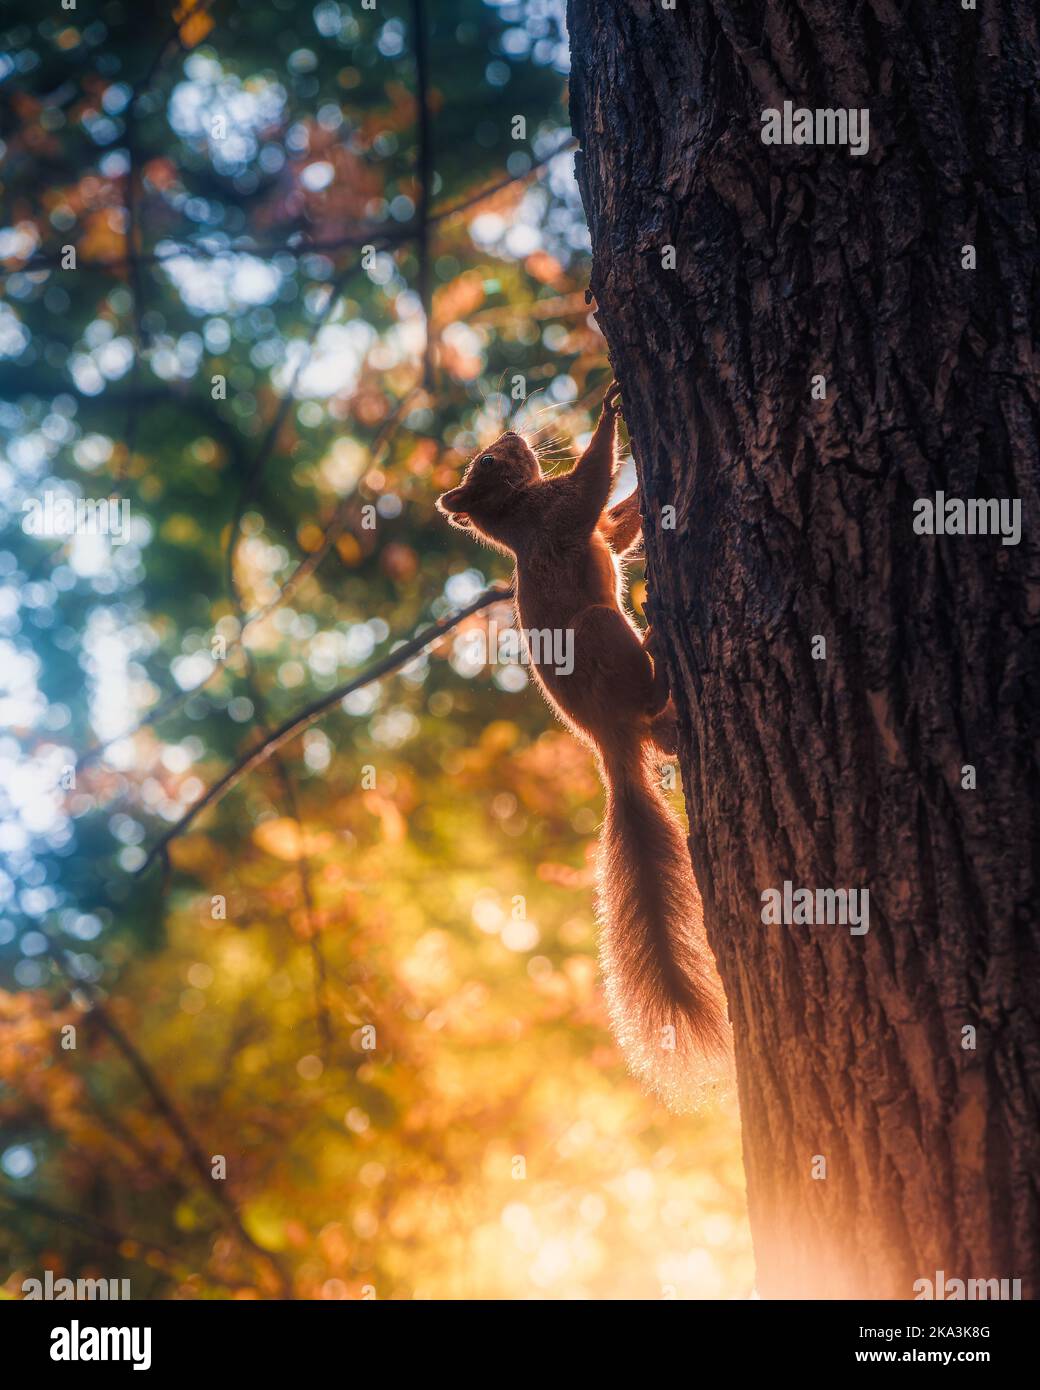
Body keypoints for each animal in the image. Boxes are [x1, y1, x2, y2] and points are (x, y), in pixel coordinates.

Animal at [437, 382, 730, 1105]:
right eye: (488, 463)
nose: (510, 436)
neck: (516, 516)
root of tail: (607, 746)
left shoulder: (582, 525)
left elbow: (617, 526)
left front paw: (645, 492)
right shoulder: (562, 511)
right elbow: (594, 483)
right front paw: (610, 411)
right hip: (600, 631)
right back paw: (657, 649)